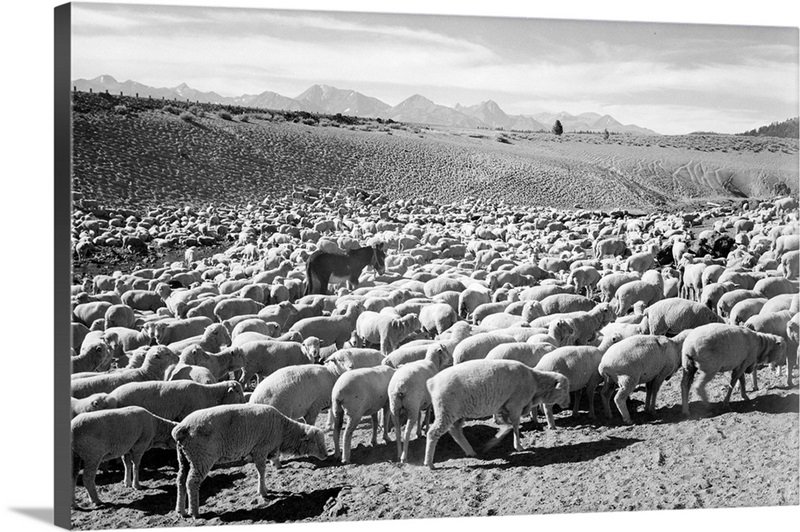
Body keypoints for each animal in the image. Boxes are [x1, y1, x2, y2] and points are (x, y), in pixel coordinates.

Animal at [172, 404, 327, 518]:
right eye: (315, 442)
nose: (326, 455)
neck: (283, 431)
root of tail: (181, 428)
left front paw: (264, 490)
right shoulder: (260, 450)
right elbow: (262, 471)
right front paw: (263, 492)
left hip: (185, 458)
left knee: (180, 480)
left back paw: (180, 511)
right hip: (202, 457)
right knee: (192, 482)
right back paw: (194, 513)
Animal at [423, 360, 569, 469]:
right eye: (565, 389)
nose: (568, 404)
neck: (535, 382)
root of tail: (432, 381)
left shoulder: (505, 407)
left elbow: (508, 425)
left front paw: (496, 438)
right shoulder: (515, 405)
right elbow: (515, 425)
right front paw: (518, 446)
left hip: (457, 412)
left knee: (456, 431)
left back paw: (471, 451)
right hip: (446, 411)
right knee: (433, 433)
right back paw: (429, 463)